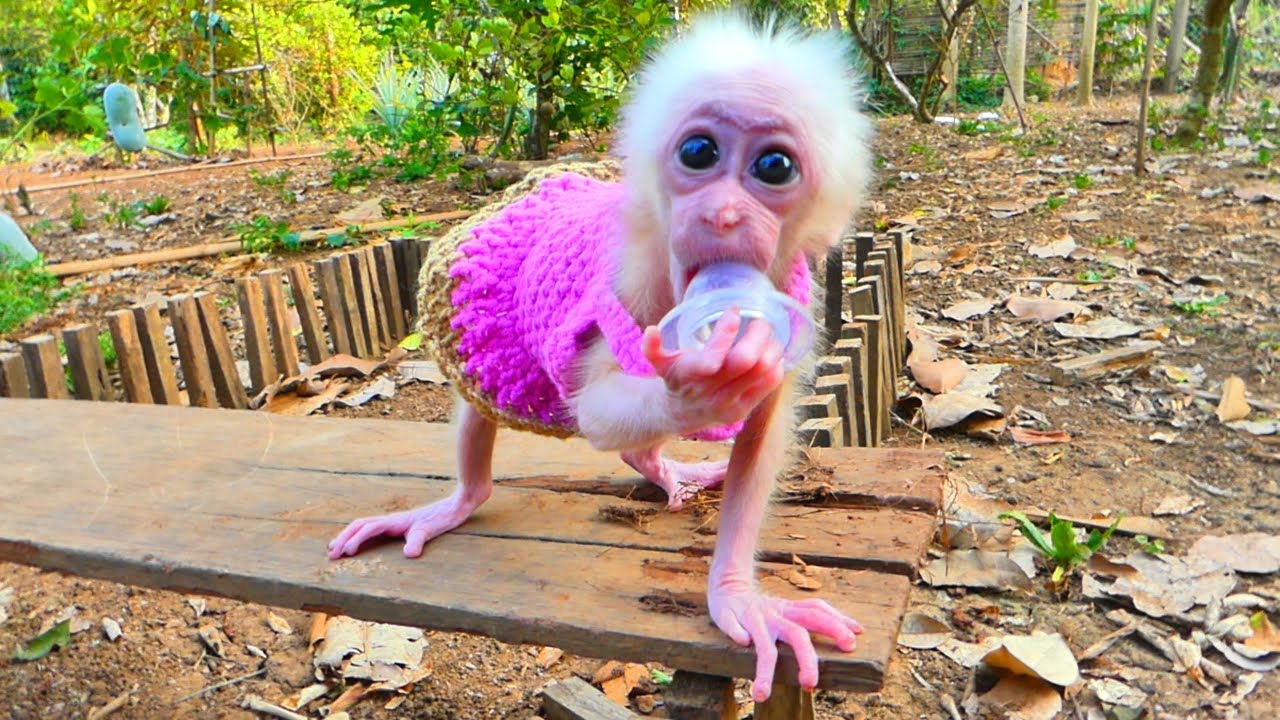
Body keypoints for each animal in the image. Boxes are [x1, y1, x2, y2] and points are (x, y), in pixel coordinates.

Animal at [328, 14, 874, 701]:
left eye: (773, 167)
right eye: (699, 153)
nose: (723, 214)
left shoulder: (791, 305)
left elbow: (762, 429)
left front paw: (737, 596)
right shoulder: (625, 281)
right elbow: (598, 408)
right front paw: (691, 393)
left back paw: (654, 463)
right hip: (475, 294)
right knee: (484, 391)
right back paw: (465, 497)